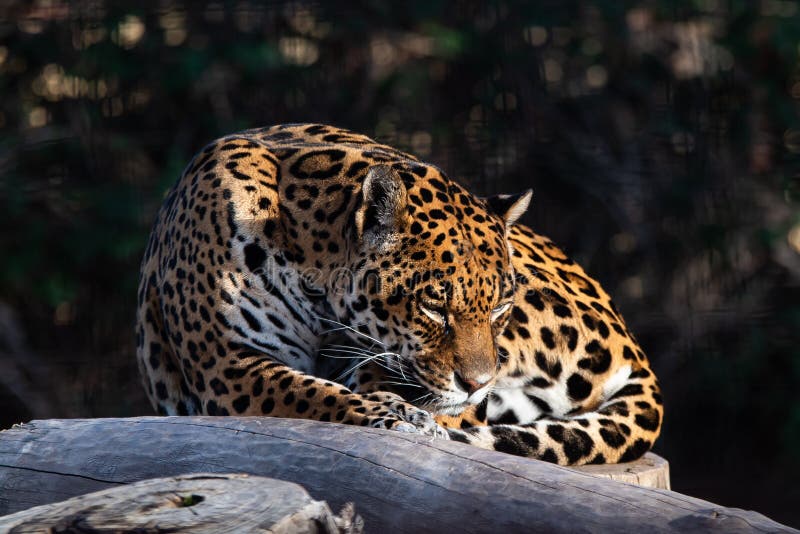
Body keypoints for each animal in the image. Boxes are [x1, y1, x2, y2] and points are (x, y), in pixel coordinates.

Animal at [136, 123, 663, 465]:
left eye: (499, 308)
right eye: (433, 305)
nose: (477, 384)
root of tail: (633, 349)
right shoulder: (227, 362)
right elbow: (307, 393)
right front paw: (395, 414)